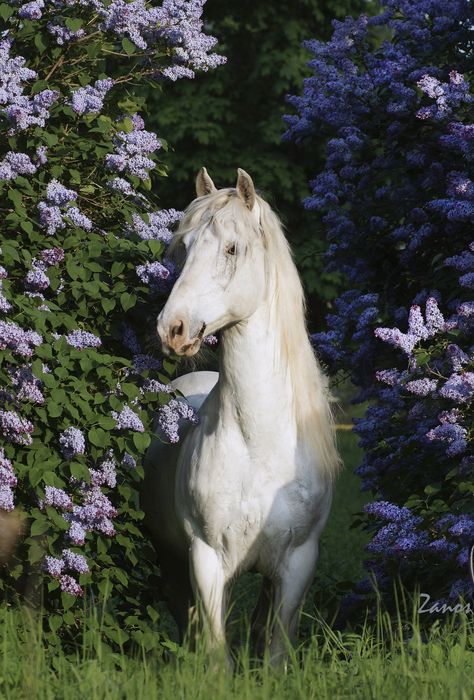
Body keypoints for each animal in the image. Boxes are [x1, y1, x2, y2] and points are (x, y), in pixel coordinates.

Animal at [141, 167, 340, 664]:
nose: (172, 329)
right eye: (183, 249)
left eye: (232, 248)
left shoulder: (297, 564)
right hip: (171, 561)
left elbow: (275, 650)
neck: (259, 446)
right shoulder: (206, 559)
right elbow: (216, 652)